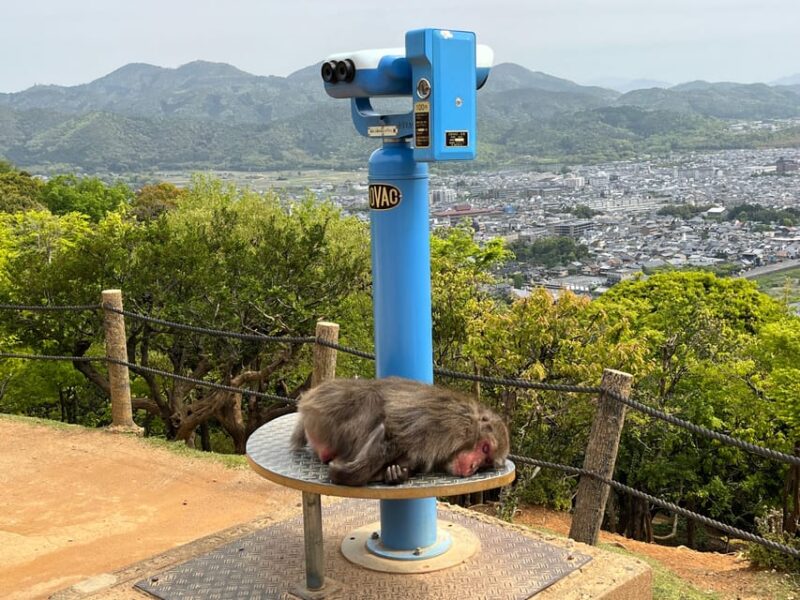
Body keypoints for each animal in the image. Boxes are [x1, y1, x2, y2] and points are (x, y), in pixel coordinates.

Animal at [290, 377, 509, 486]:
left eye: (486, 462)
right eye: (484, 448)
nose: (473, 466)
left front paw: (396, 473)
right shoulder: (453, 425)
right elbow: (397, 431)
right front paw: (346, 474)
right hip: (331, 414)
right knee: (373, 401)